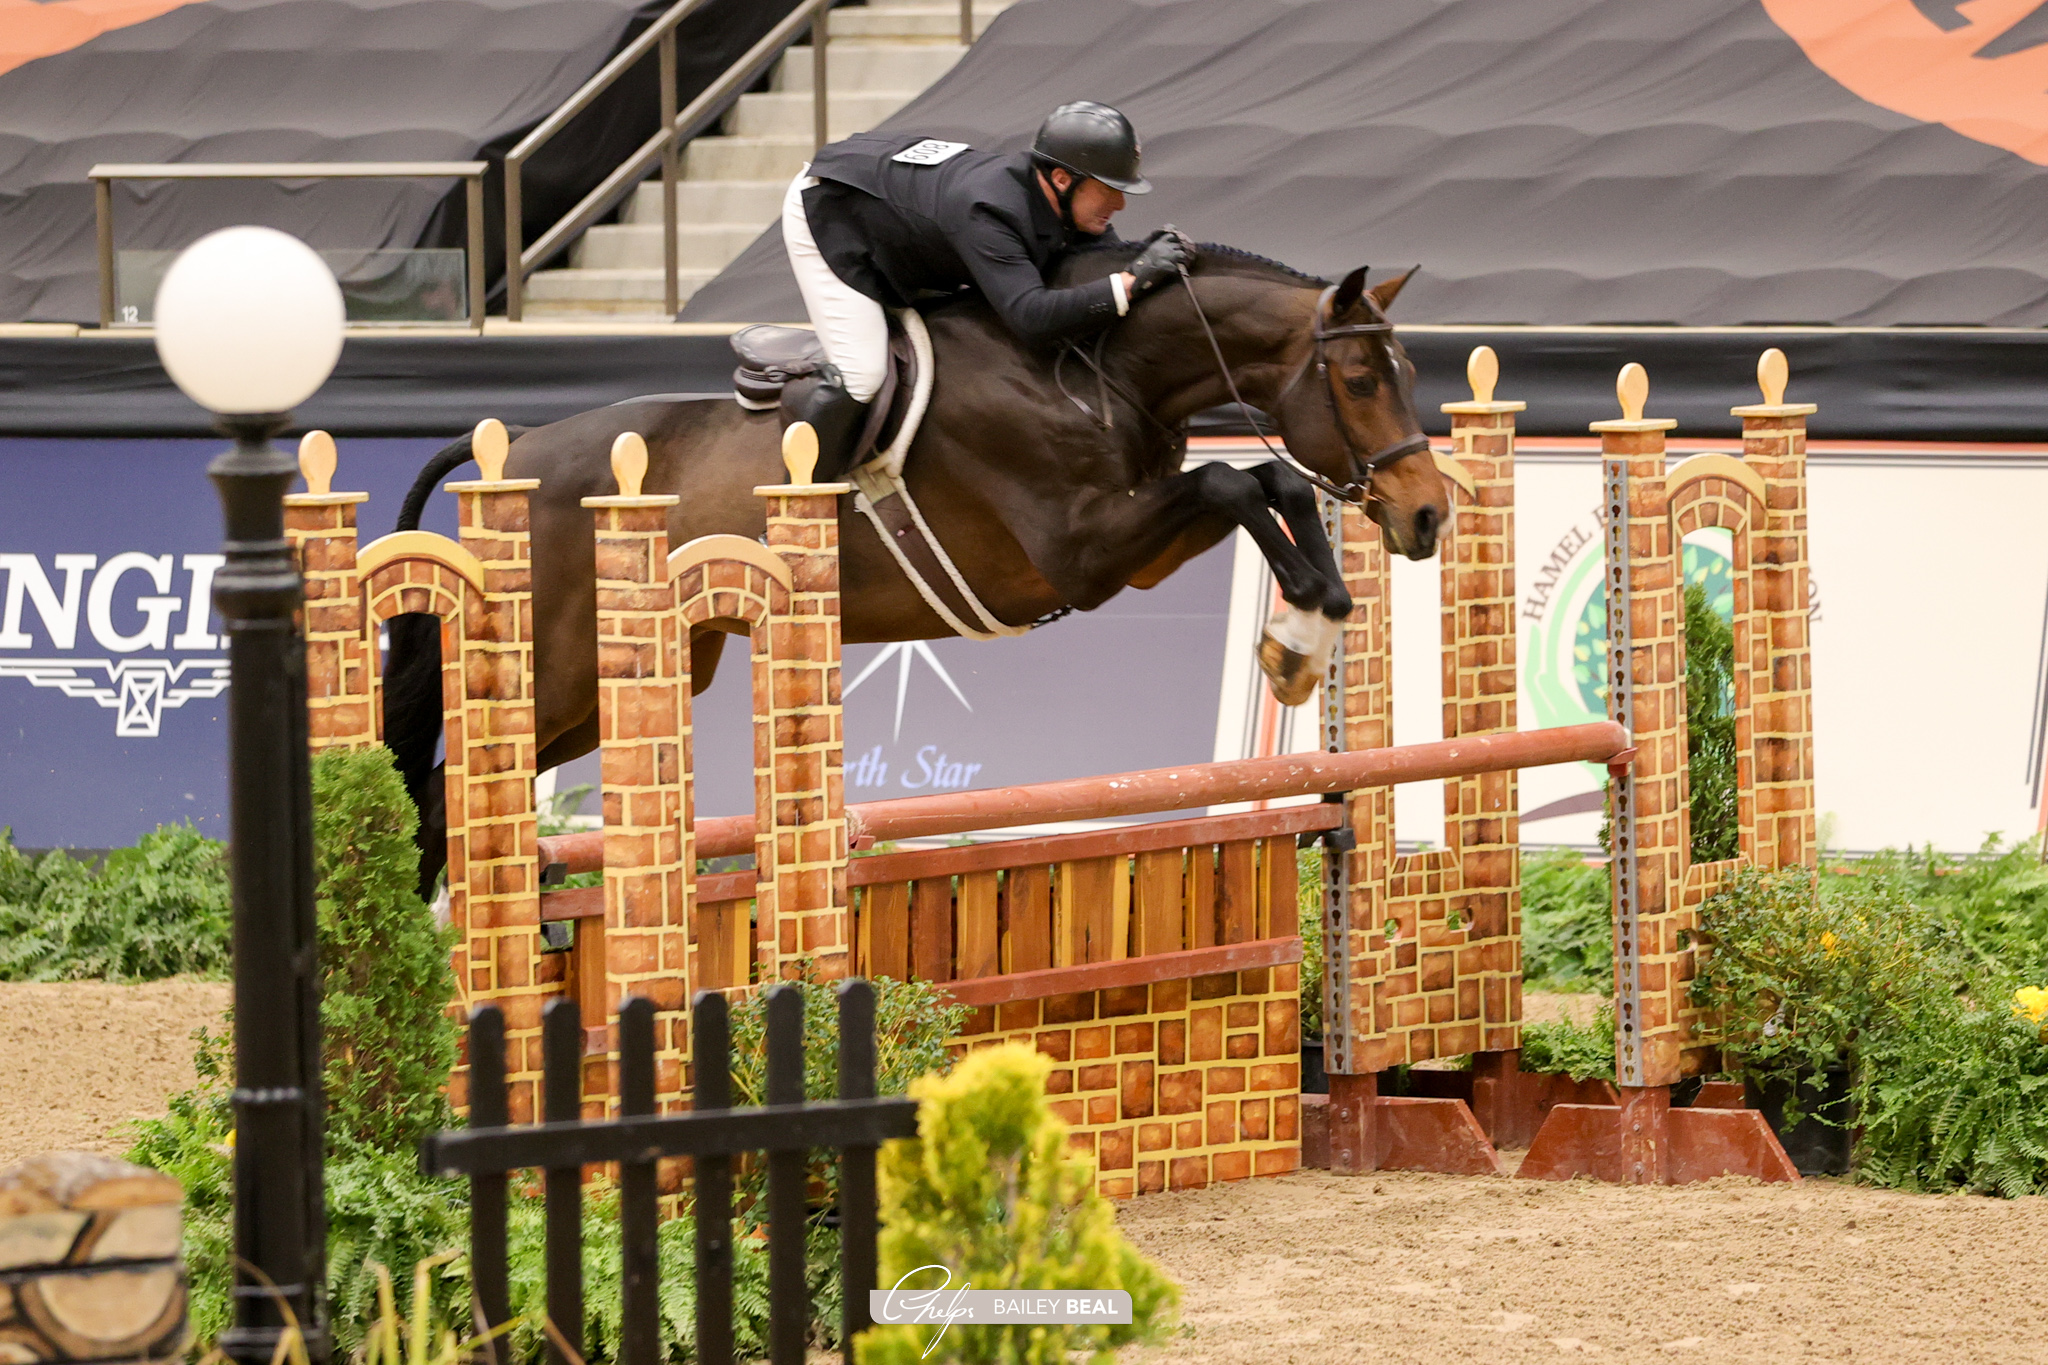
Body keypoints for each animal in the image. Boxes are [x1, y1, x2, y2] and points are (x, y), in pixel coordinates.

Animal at [382, 243, 1449, 894]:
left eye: (1409, 376)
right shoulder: (1085, 553)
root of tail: (514, 447)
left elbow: (1271, 478)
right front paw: (1299, 629)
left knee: (447, 793)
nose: (1428, 513)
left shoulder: (1136, 551)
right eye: (1361, 379)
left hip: (625, 683)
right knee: (440, 791)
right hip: (557, 670)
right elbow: (1237, 481)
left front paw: (1311, 628)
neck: (1095, 367)